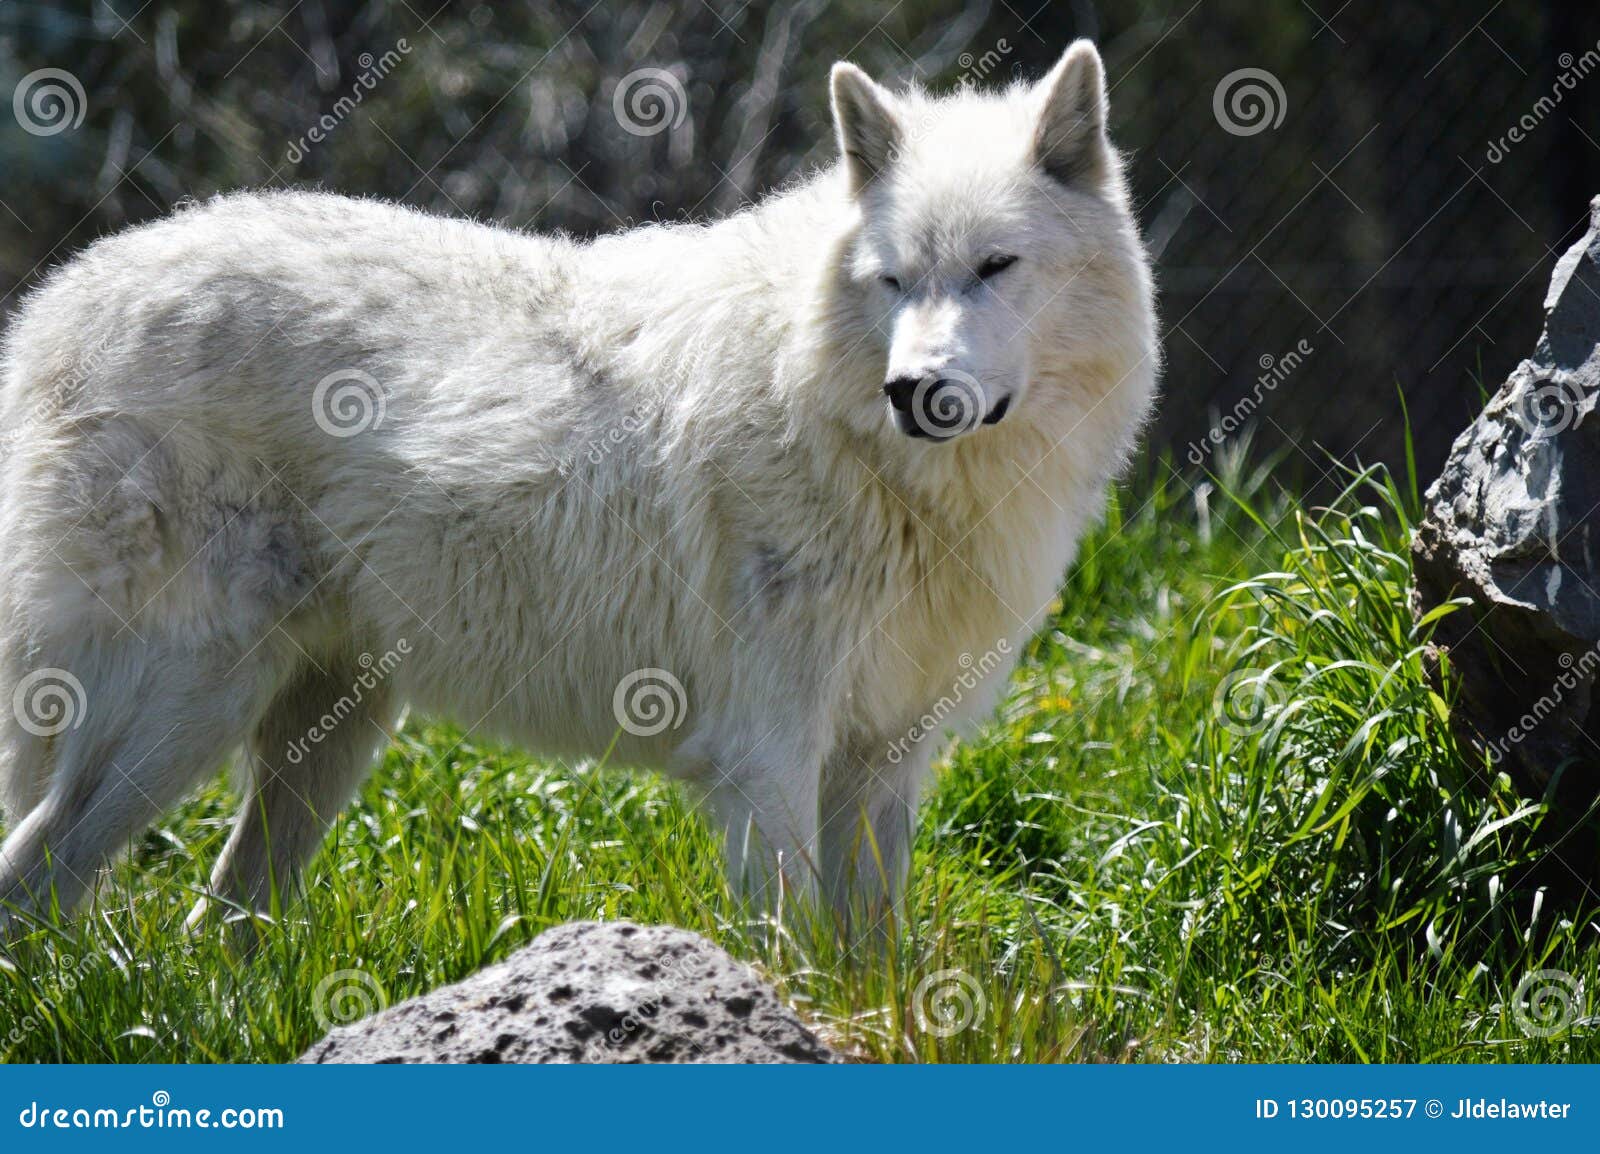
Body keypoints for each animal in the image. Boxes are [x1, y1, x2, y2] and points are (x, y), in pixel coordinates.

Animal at [0, 41, 1156, 940]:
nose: (916, 389)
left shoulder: (880, 762)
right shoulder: (765, 757)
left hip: (333, 727)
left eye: (996, 266)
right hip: (190, 705)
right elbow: (794, 949)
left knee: (221, 918)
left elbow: (873, 958)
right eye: (894, 280)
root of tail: (62, 297)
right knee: (40, 876)